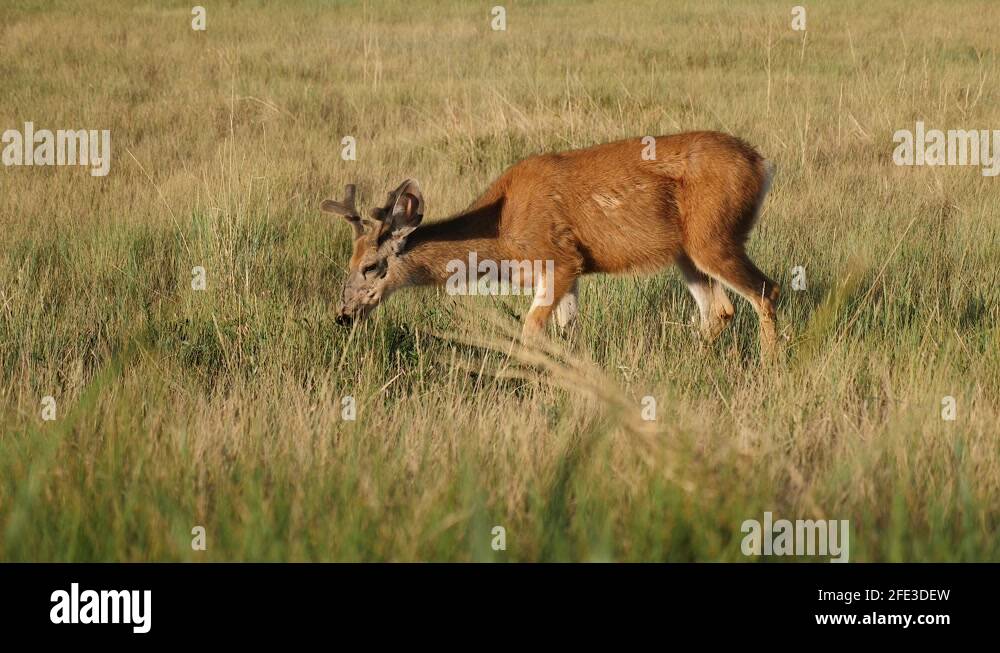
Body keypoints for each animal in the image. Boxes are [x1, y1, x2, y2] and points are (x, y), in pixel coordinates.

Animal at [321, 131, 780, 357]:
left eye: (370, 266)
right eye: (348, 263)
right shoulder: (571, 271)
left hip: (713, 234)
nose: (342, 316)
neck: (500, 234)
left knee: (766, 290)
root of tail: (762, 163)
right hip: (686, 251)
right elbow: (567, 328)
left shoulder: (559, 259)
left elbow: (529, 330)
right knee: (720, 310)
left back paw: (770, 366)